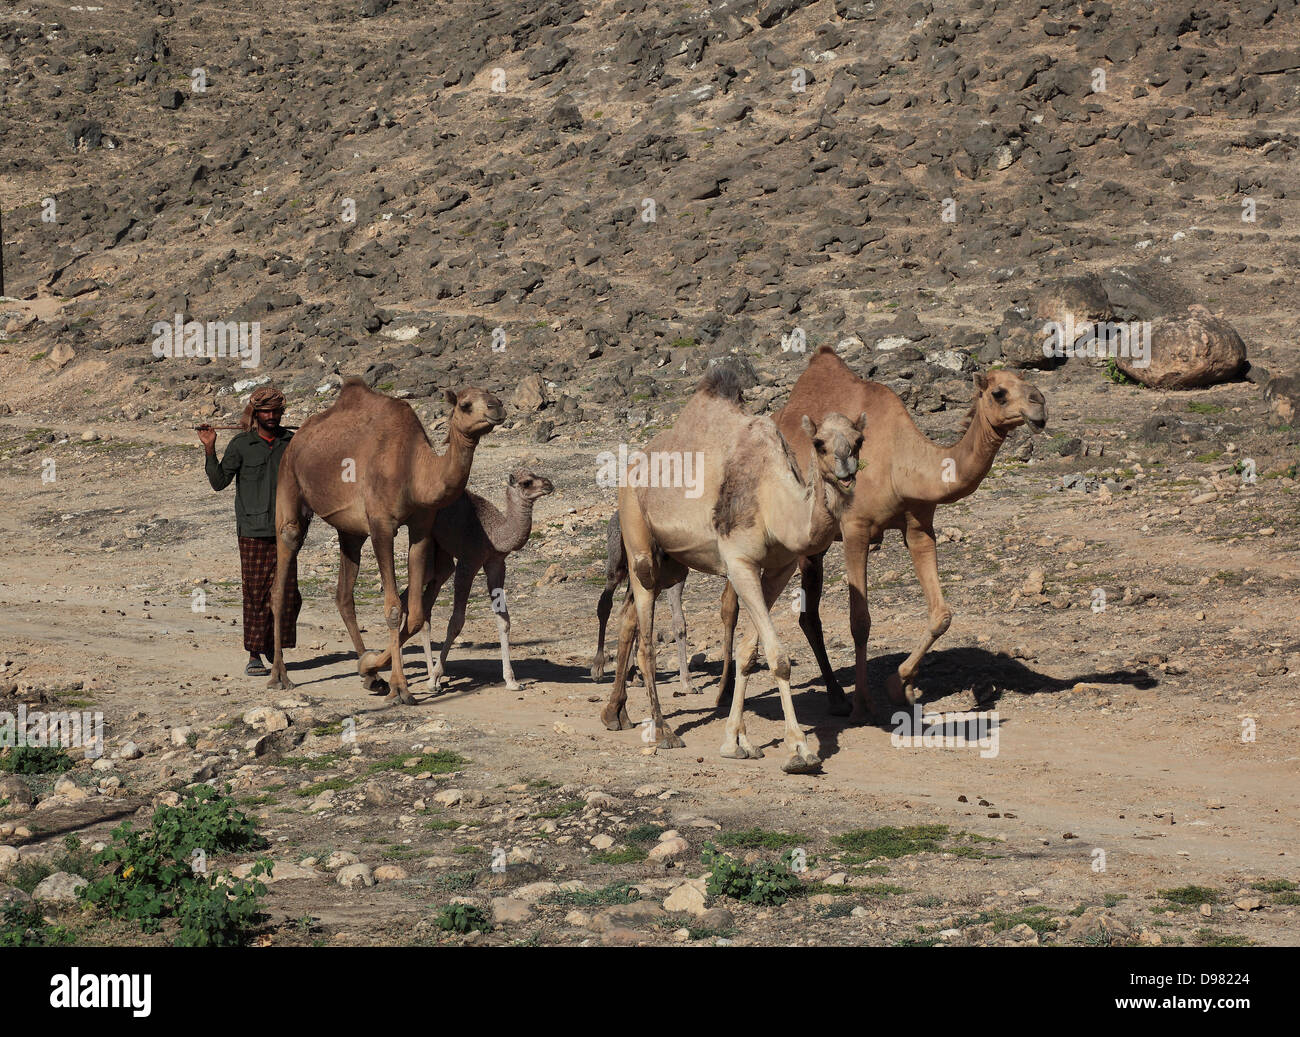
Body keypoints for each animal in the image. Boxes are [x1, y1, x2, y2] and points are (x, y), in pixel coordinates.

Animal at [266, 377, 504, 703]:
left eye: (495, 396)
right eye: (466, 405)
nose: (497, 408)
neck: (414, 469)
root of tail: (297, 435)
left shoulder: (421, 527)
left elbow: (415, 614)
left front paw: (370, 667)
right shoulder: (381, 526)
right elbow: (393, 609)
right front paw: (400, 688)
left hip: (351, 531)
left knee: (344, 594)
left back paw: (370, 676)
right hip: (288, 479)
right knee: (282, 573)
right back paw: (280, 676)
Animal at [409, 468, 555, 693]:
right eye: (526, 482)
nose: (549, 484)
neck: (494, 535)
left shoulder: (496, 563)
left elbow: (504, 620)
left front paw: (512, 682)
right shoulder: (468, 562)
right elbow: (456, 622)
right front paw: (435, 677)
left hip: (441, 552)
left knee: (426, 602)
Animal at [601, 366, 866, 774]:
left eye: (859, 440)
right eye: (819, 442)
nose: (846, 466)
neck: (775, 501)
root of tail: (634, 465)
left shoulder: (778, 569)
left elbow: (748, 651)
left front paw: (736, 741)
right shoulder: (740, 562)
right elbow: (778, 656)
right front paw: (800, 750)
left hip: (670, 561)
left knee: (629, 615)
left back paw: (616, 714)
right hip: (637, 534)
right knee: (645, 638)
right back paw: (663, 732)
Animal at [717, 345, 1047, 723]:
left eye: (1025, 380)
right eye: (999, 392)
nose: (1040, 405)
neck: (902, 464)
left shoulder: (919, 527)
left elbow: (941, 615)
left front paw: (900, 684)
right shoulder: (856, 529)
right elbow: (860, 621)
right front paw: (864, 704)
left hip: (809, 546)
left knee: (805, 615)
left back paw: (835, 698)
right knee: (732, 601)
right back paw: (724, 694)